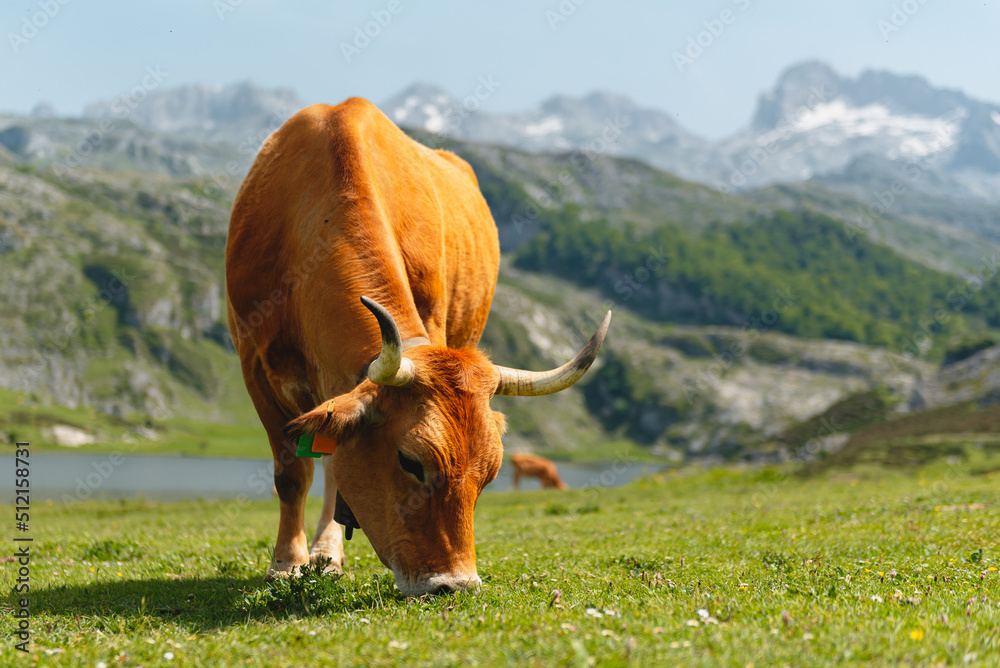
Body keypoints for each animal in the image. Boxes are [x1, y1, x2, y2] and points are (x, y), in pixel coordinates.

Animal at [225, 98, 610, 596]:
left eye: (490, 473)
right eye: (410, 462)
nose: (456, 584)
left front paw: (317, 555)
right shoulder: (253, 365)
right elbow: (292, 474)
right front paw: (284, 564)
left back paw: (328, 552)